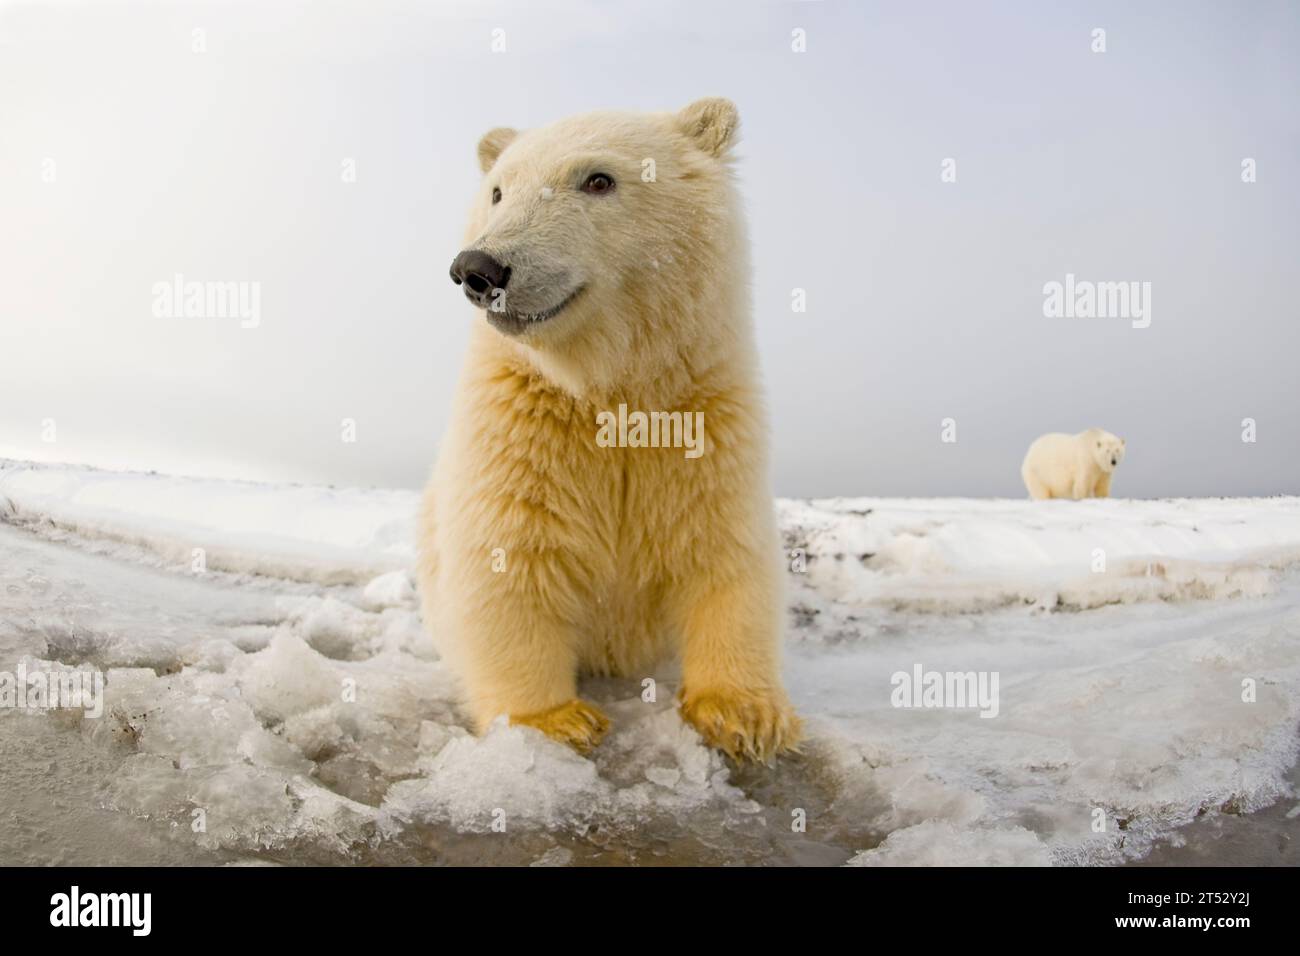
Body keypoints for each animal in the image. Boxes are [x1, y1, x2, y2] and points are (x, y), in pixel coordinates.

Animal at [416, 99, 800, 763]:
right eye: (497, 190)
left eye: (598, 179)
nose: (478, 268)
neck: (607, 388)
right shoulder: (518, 425)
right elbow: (507, 555)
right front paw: (554, 721)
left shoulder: (703, 416)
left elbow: (725, 551)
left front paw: (745, 715)